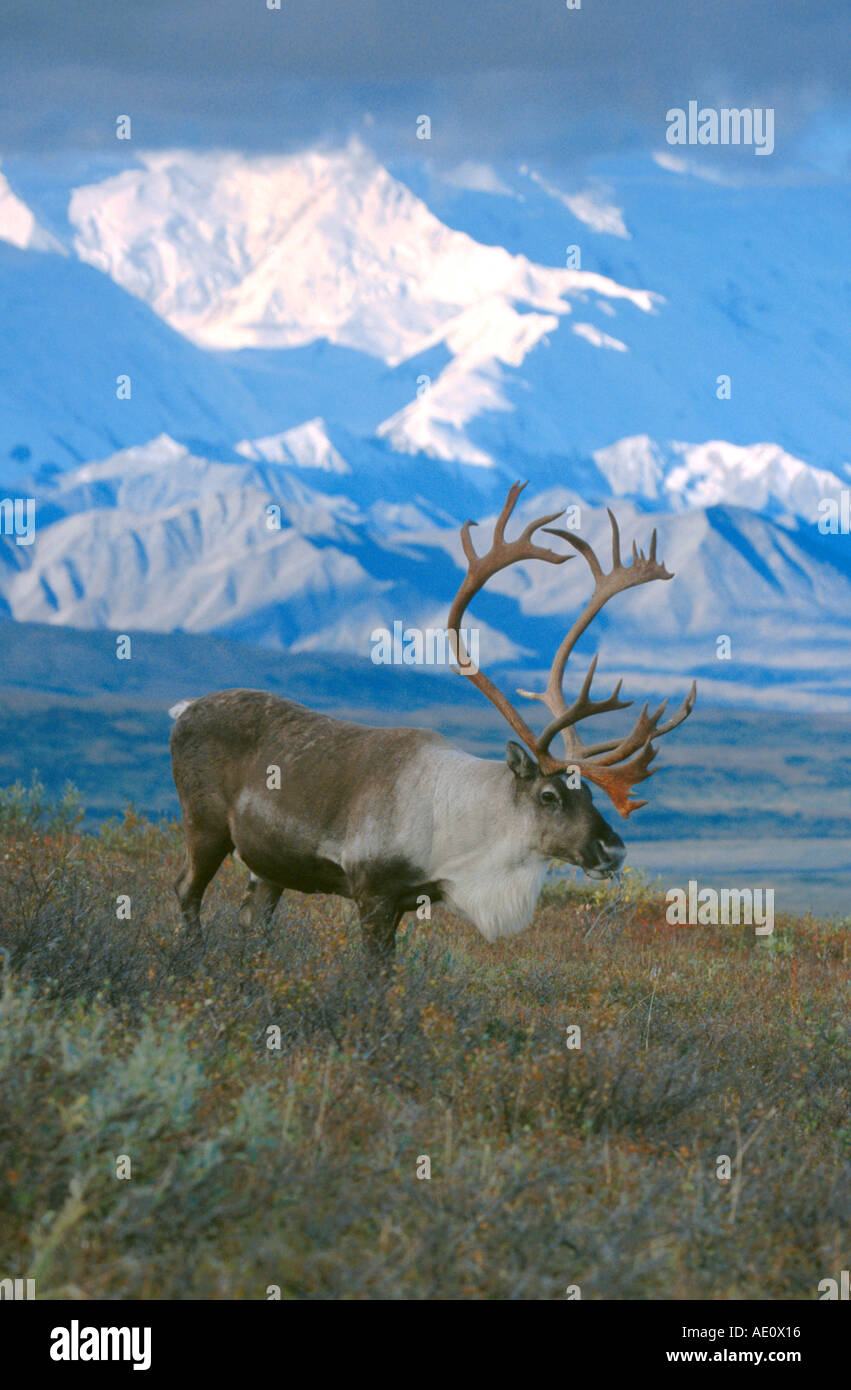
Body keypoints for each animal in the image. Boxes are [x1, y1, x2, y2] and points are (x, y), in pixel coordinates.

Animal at [169, 483, 695, 962]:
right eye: (549, 796)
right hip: (205, 827)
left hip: (267, 865)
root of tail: (186, 708)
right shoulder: (372, 893)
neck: (466, 830)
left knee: (252, 917)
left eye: (588, 792)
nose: (614, 851)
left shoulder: (408, 899)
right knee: (185, 889)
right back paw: (190, 957)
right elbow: (374, 974)